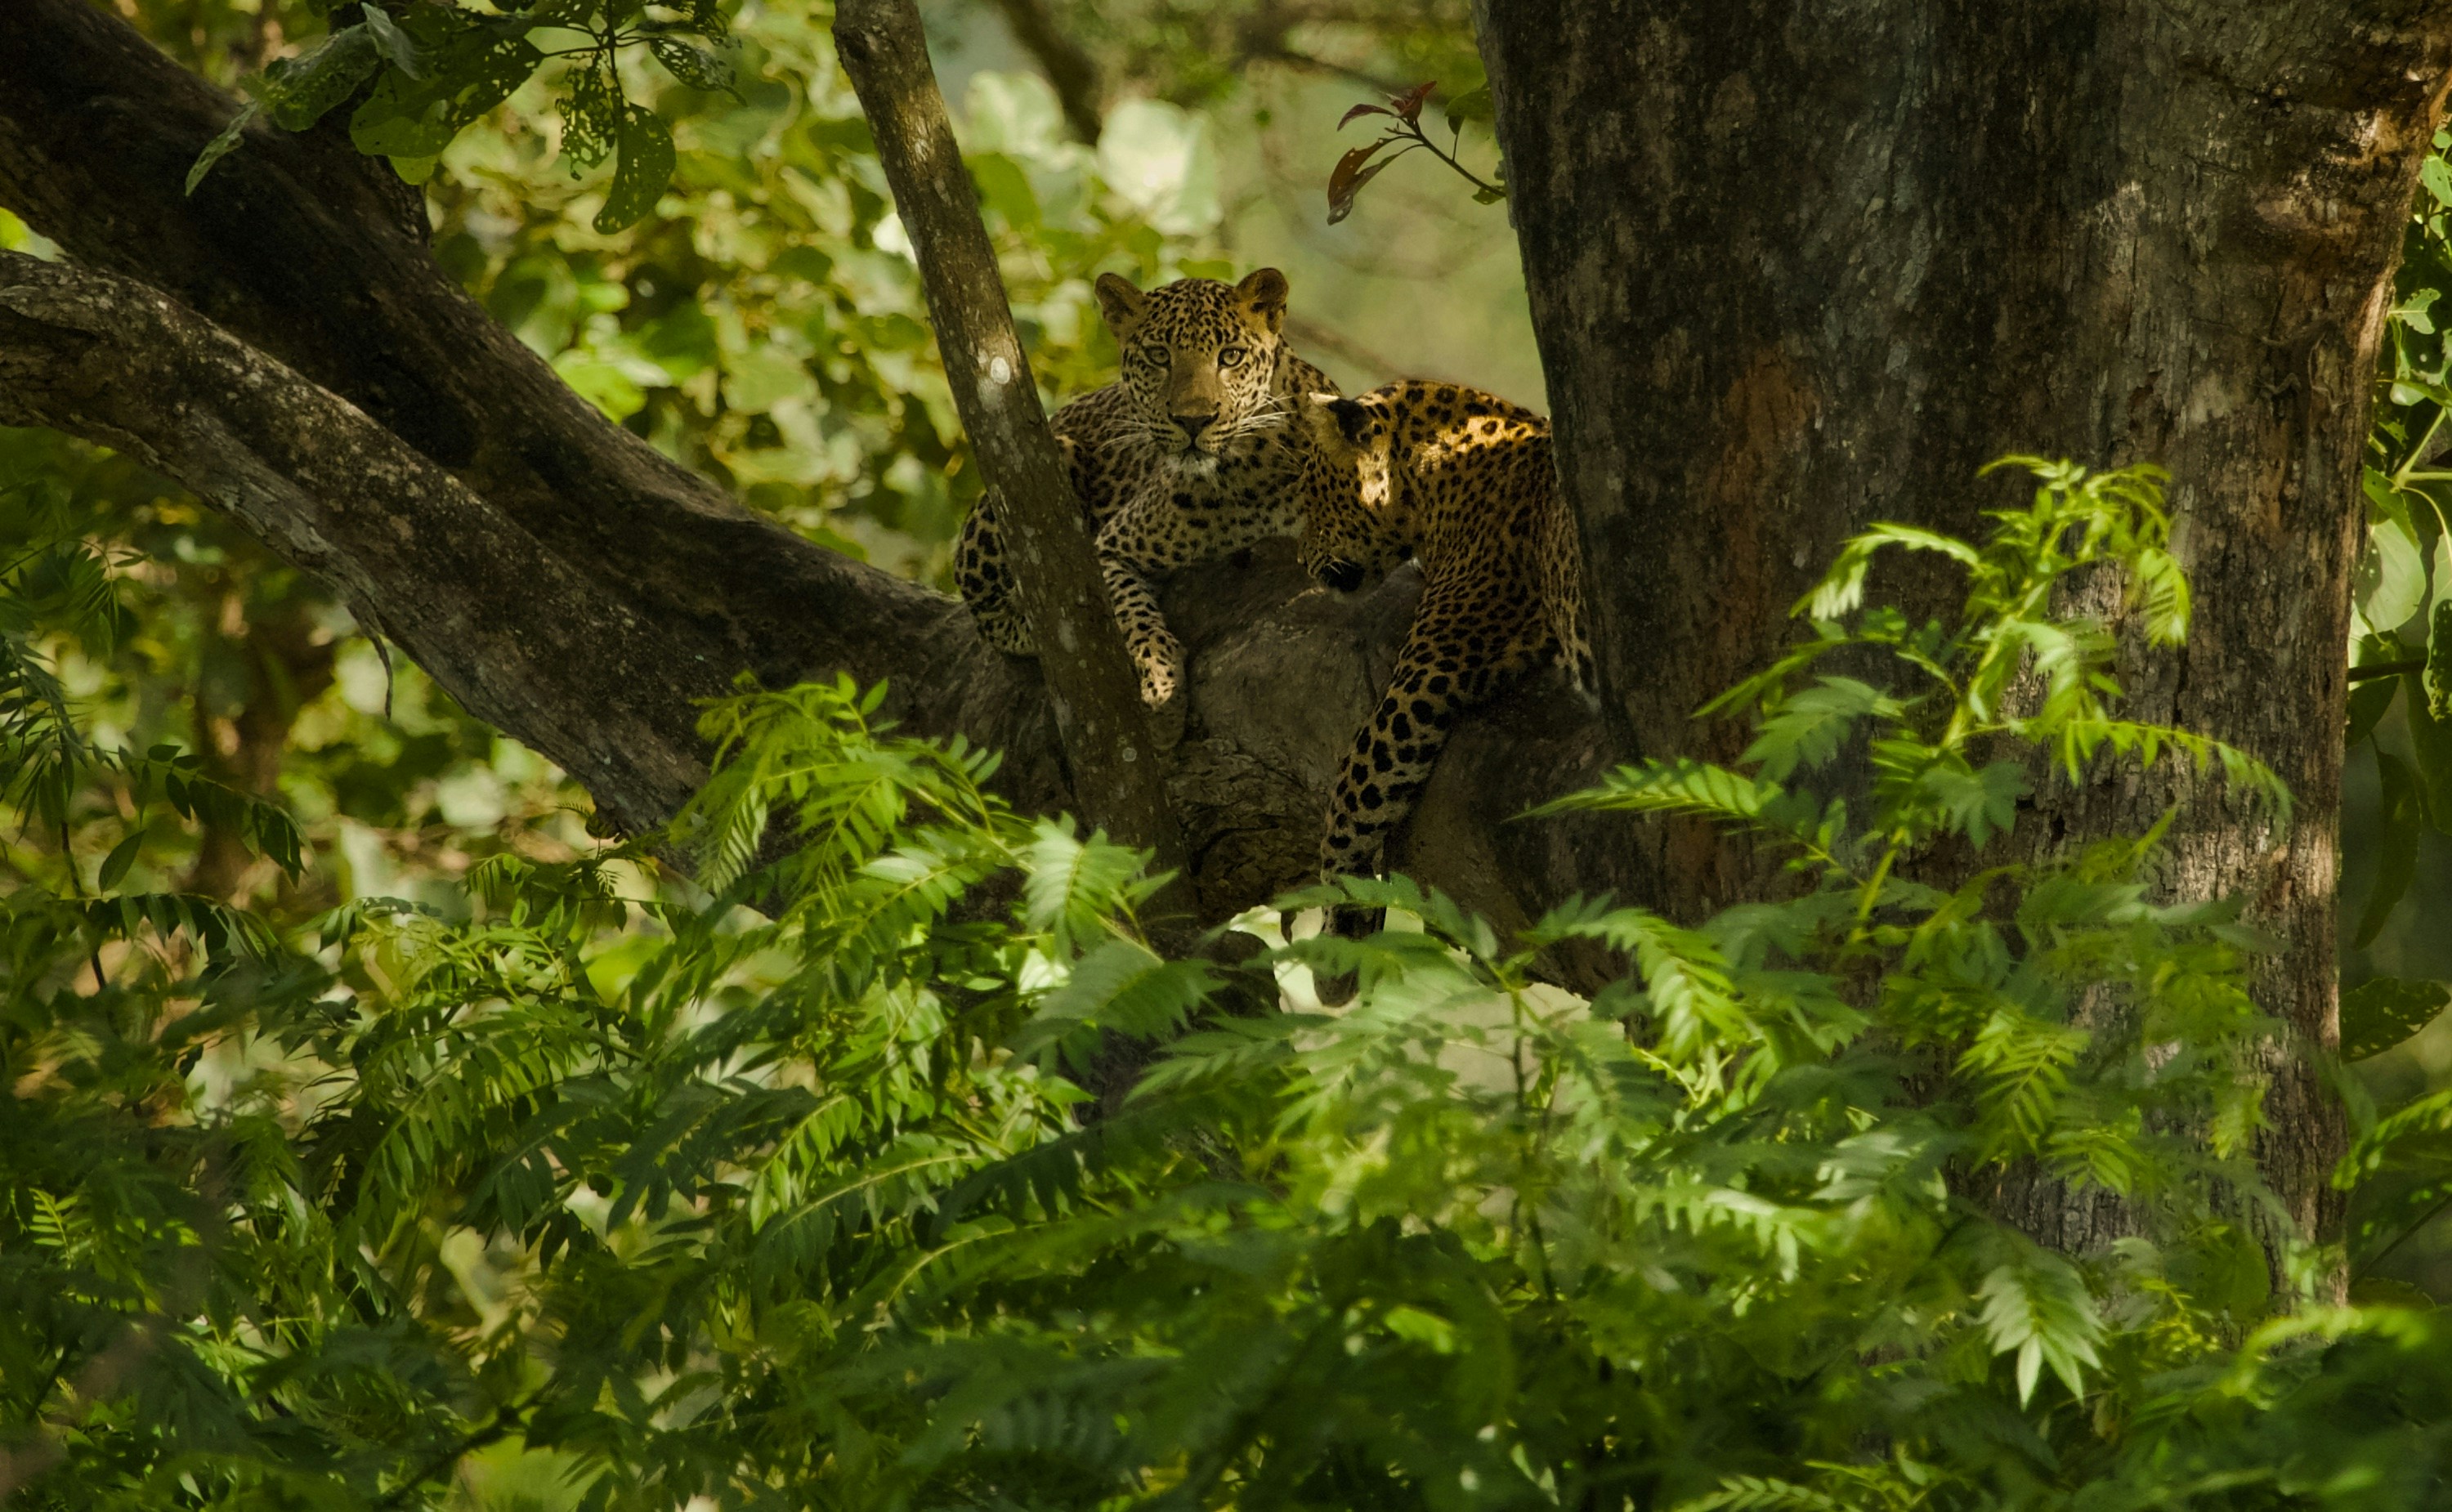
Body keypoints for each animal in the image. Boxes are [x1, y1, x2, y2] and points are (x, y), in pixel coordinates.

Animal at [951, 268, 1338, 726]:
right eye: (1158, 356)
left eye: (1230, 357)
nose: (1193, 421)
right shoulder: (1108, 548)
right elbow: (1129, 611)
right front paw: (1160, 682)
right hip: (1052, 455)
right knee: (986, 609)